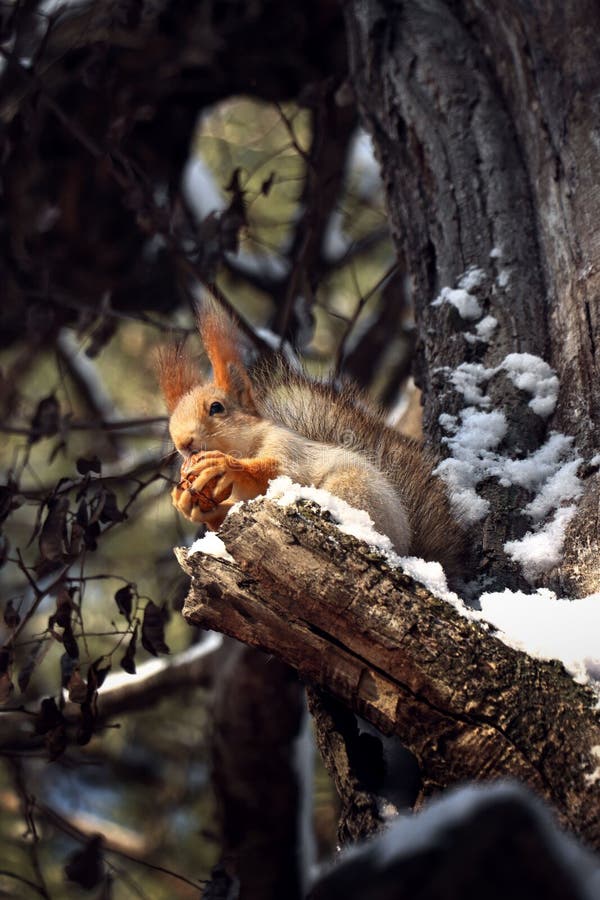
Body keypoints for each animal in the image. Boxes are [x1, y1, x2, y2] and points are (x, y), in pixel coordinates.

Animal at [157, 303, 464, 576]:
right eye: (171, 428)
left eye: (216, 408)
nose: (184, 443)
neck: (246, 445)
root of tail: (404, 548)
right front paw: (187, 502)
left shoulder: (287, 446)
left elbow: (280, 472)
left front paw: (225, 466)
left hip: (352, 488)